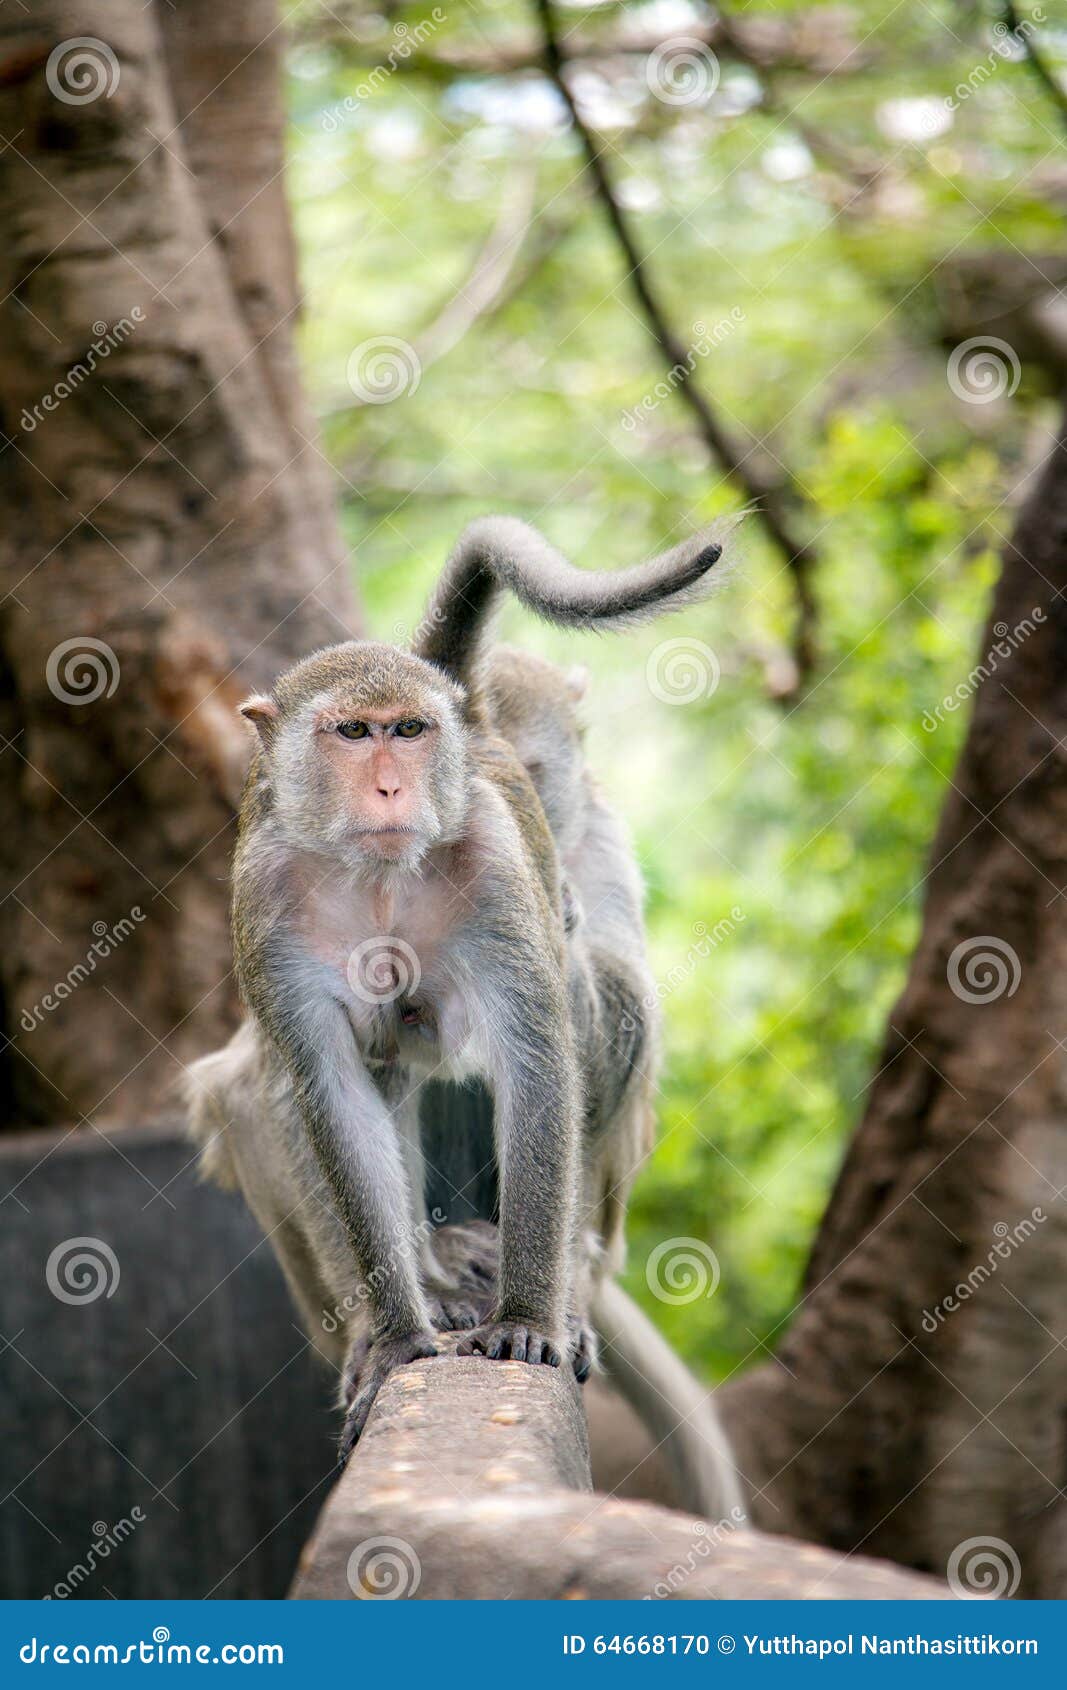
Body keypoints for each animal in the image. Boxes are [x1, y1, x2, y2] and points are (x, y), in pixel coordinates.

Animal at [185, 515, 742, 1514]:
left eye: (408, 731)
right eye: (352, 733)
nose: (392, 788)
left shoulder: (502, 867)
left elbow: (541, 1058)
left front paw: (526, 1319)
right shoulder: (264, 903)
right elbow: (327, 1090)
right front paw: (401, 1335)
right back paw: (421, 1286)